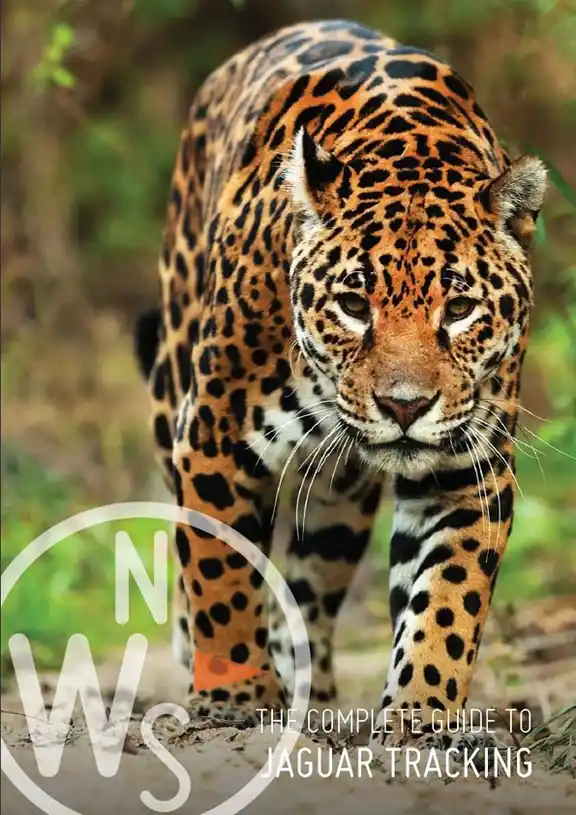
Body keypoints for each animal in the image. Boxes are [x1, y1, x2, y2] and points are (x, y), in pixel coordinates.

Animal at [135, 19, 546, 753]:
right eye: (354, 305)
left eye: (460, 308)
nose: (405, 407)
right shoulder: (212, 434)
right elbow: (219, 569)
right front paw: (236, 696)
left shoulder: (468, 471)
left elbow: (447, 602)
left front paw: (420, 717)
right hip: (169, 384)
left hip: (338, 500)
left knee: (309, 594)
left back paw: (315, 697)